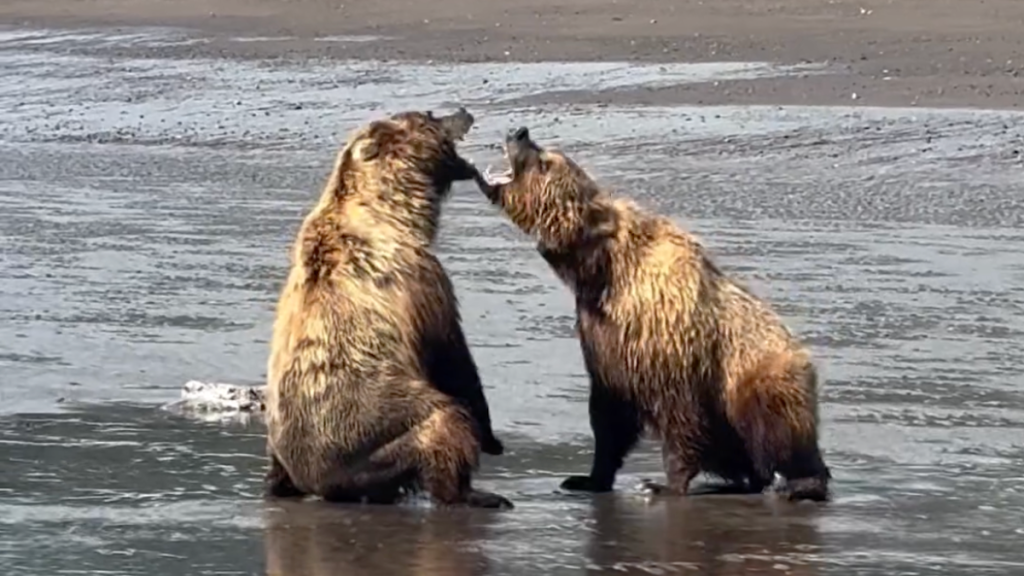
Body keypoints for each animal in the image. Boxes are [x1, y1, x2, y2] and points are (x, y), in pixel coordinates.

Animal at [264, 107, 511, 509]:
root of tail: (316, 481)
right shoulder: (418, 277)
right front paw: (492, 438)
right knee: (445, 423)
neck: (394, 209)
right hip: (381, 434)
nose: (463, 111)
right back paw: (477, 494)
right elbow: (453, 355)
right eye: (430, 115)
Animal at [475, 126, 831, 501]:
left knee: (776, 431)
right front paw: (588, 478)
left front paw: (661, 485)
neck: (601, 272)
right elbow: (609, 418)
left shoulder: (667, 341)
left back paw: (797, 483)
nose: (519, 132)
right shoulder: (603, 341)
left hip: (761, 378)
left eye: (546, 162)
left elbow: (680, 417)